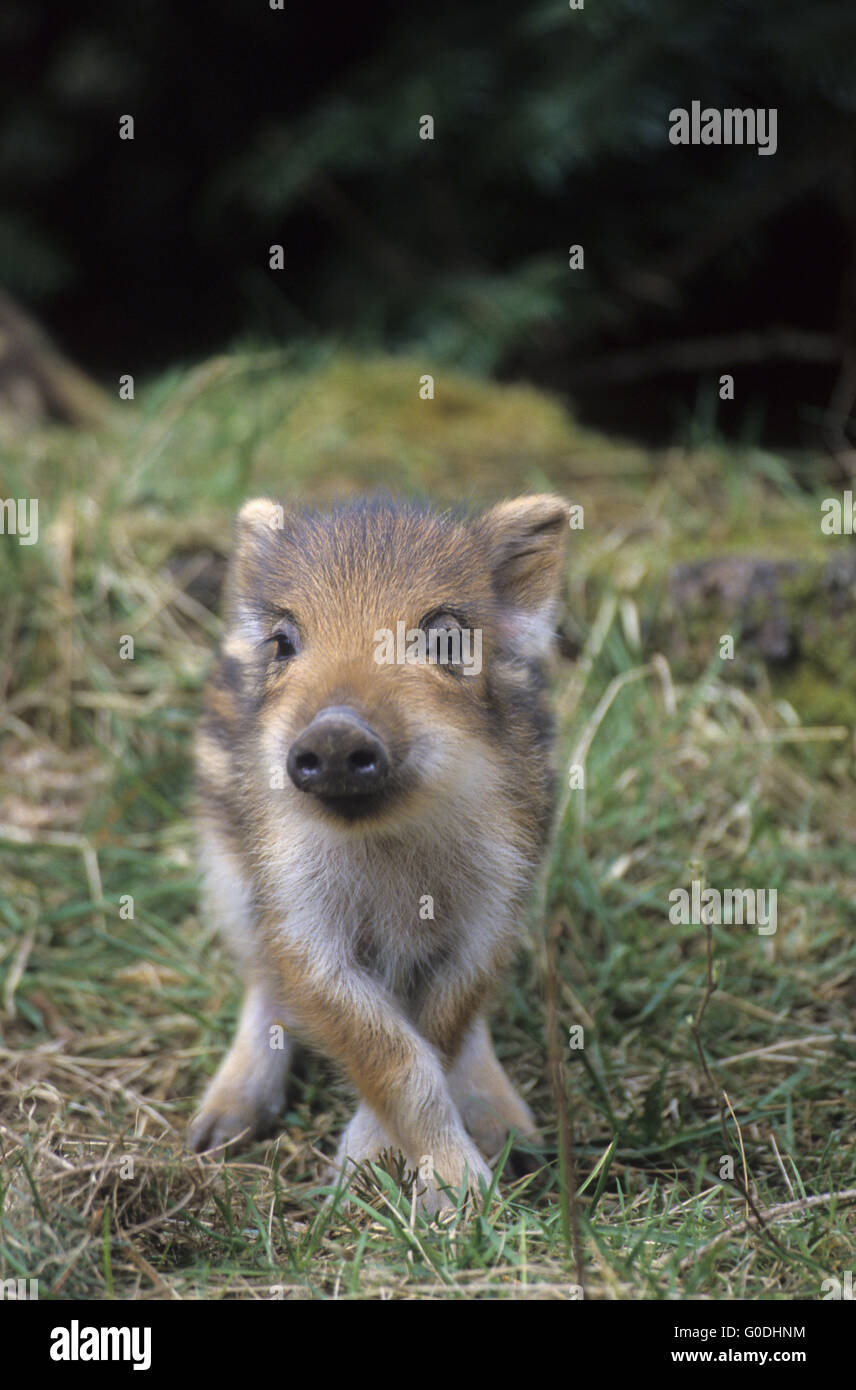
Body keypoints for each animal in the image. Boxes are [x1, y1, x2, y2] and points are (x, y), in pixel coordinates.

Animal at [189, 493, 569, 1213]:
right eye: (284, 642)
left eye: (445, 637)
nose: (335, 733)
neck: (387, 841)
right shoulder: (299, 915)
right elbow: (389, 1052)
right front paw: (395, 1187)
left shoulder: (491, 906)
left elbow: (436, 1032)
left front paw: (440, 1191)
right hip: (227, 875)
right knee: (262, 980)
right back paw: (216, 1133)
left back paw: (515, 1134)